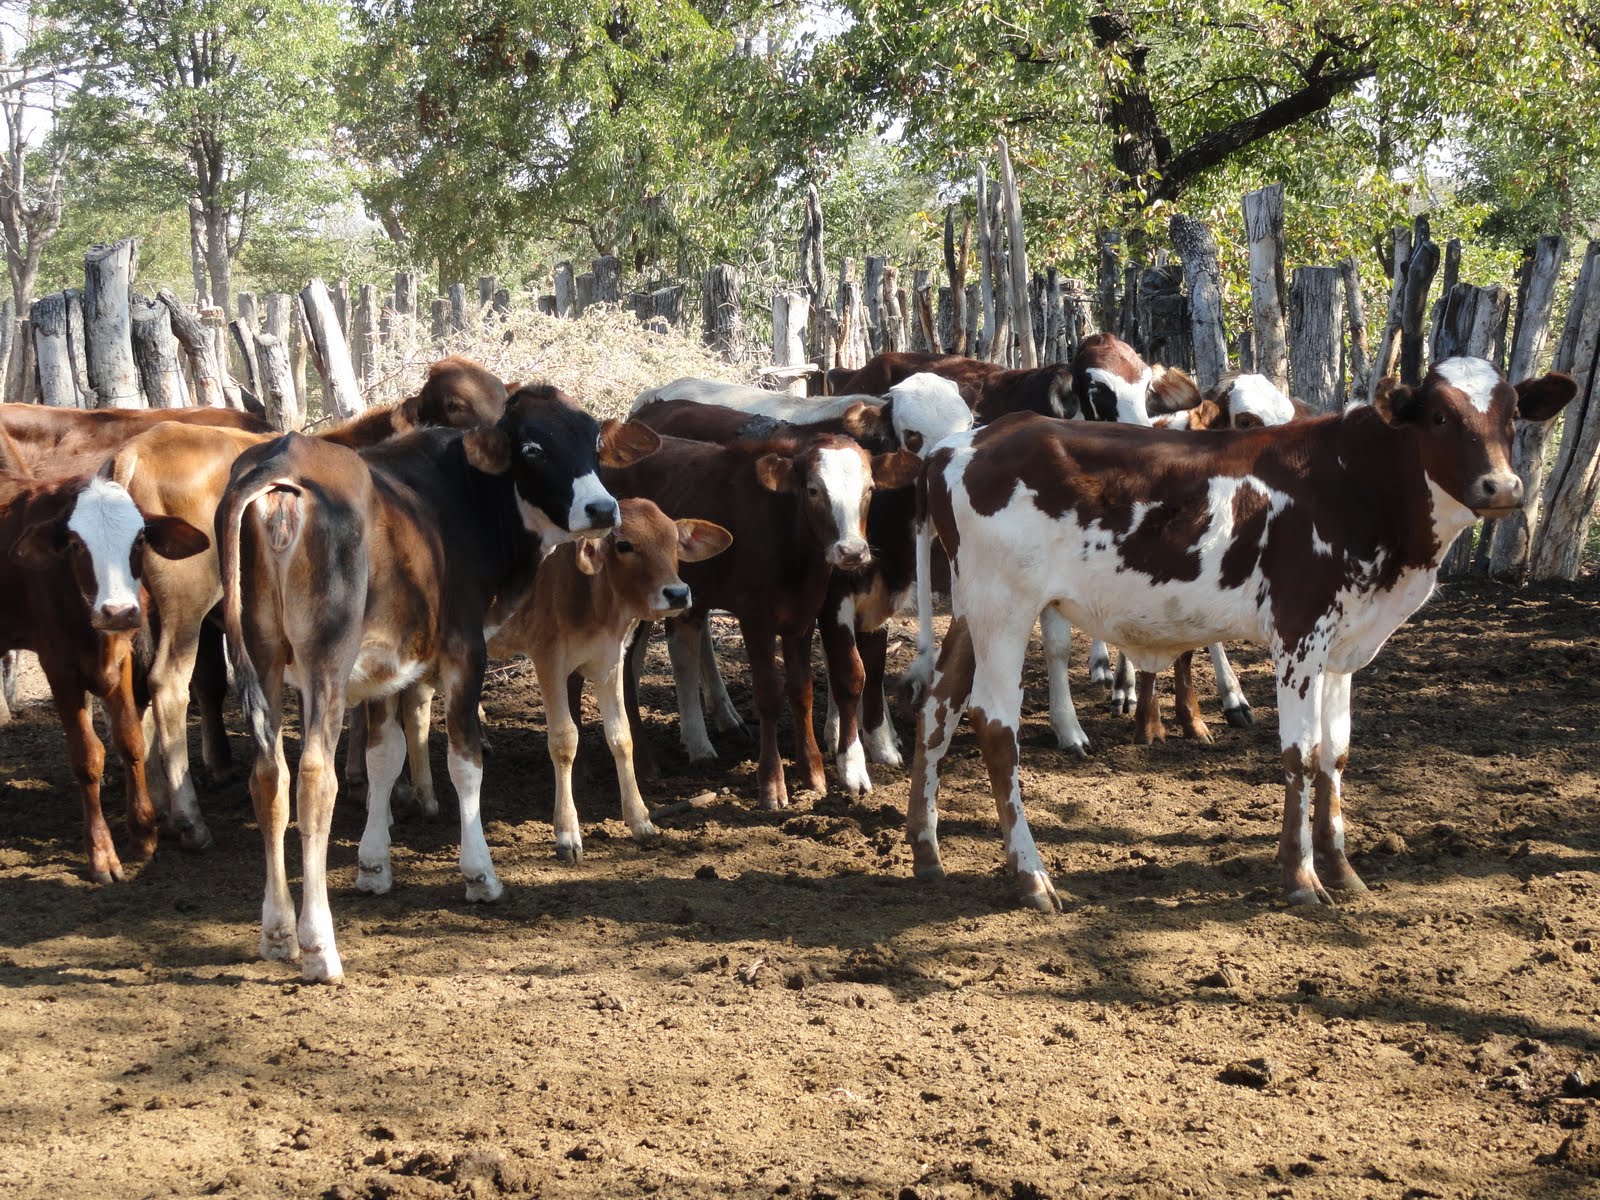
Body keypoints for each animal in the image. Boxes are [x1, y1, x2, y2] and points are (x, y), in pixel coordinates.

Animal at [1, 467, 209, 880]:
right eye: (75, 544)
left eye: (140, 538)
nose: (118, 611)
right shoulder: (59, 667)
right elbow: (87, 758)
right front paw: (101, 854)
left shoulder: (120, 656)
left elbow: (130, 740)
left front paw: (143, 834)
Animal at [217, 382, 658, 982]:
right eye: (533, 448)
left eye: (591, 440)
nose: (602, 508)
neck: (464, 498)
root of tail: (279, 464)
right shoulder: (464, 651)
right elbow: (464, 761)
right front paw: (479, 873)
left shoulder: (380, 670)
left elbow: (385, 756)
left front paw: (374, 865)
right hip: (324, 660)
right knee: (312, 780)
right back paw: (319, 945)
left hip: (262, 657)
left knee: (269, 777)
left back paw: (277, 930)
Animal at [603, 430, 918, 808]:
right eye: (813, 489)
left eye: (869, 489)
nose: (852, 552)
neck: (791, 546)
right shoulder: (755, 619)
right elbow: (769, 694)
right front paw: (772, 784)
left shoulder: (802, 618)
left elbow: (801, 690)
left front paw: (813, 772)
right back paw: (645, 763)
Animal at [905, 359, 1576, 910]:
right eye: (1439, 416)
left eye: (1512, 414)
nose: (1503, 488)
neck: (1352, 483)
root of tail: (961, 444)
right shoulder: (1300, 635)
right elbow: (1299, 754)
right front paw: (1300, 879)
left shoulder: (1343, 648)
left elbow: (1335, 754)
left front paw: (1342, 871)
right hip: (1004, 609)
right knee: (995, 727)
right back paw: (1031, 878)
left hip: (971, 607)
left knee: (938, 706)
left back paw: (926, 849)